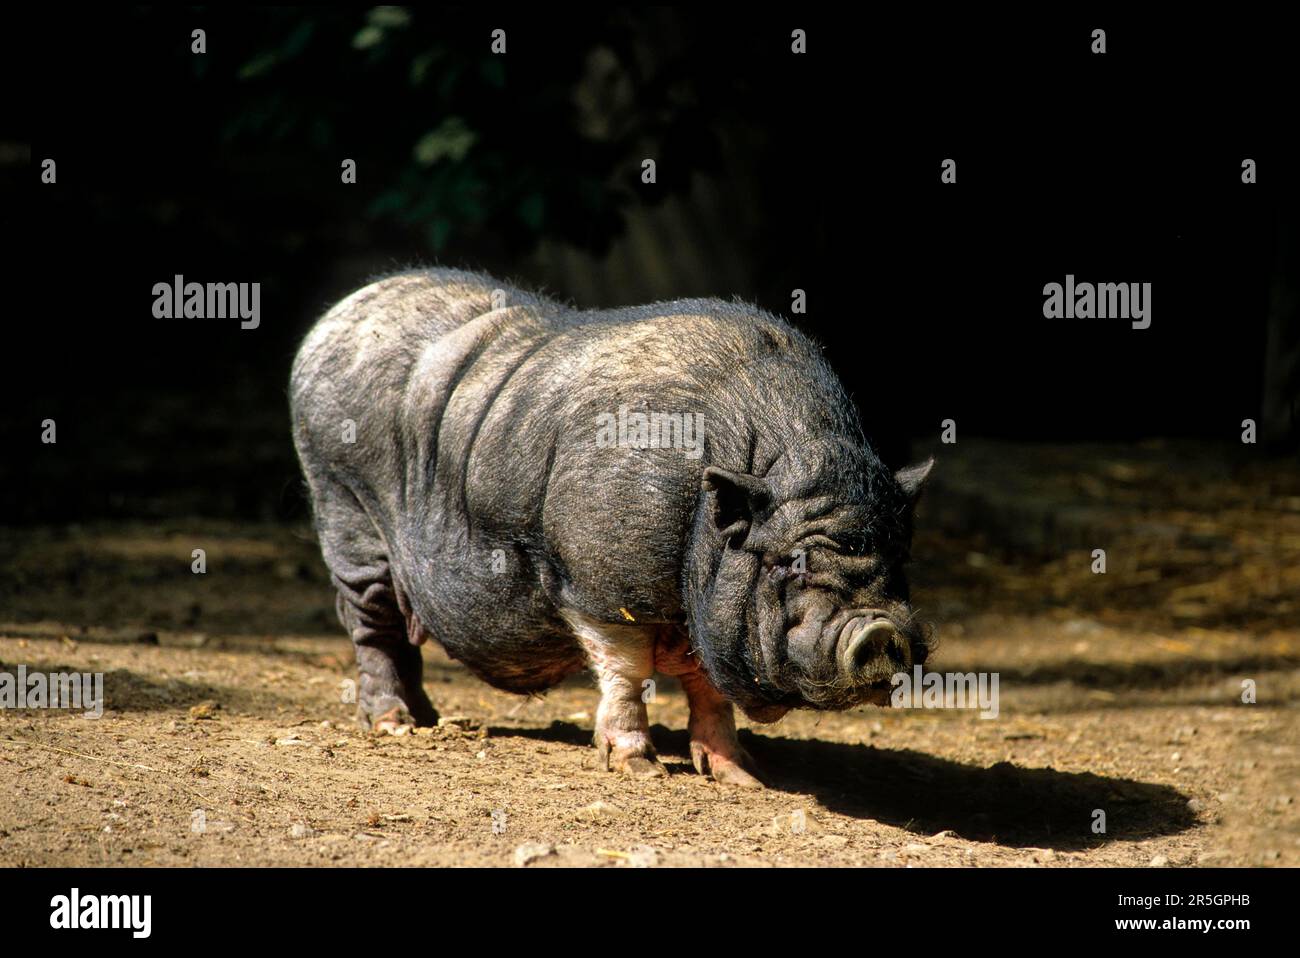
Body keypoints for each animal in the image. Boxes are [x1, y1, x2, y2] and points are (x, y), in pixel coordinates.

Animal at [290, 269, 933, 788]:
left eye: (899, 557)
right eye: (791, 564)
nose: (883, 630)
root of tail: (335, 316)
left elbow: (706, 686)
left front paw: (743, 778)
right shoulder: (599, 584)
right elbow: (626, 673)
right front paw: (640, 770)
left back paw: (427, 719)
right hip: (344, 501)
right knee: (372, 622)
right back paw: (394, 725)